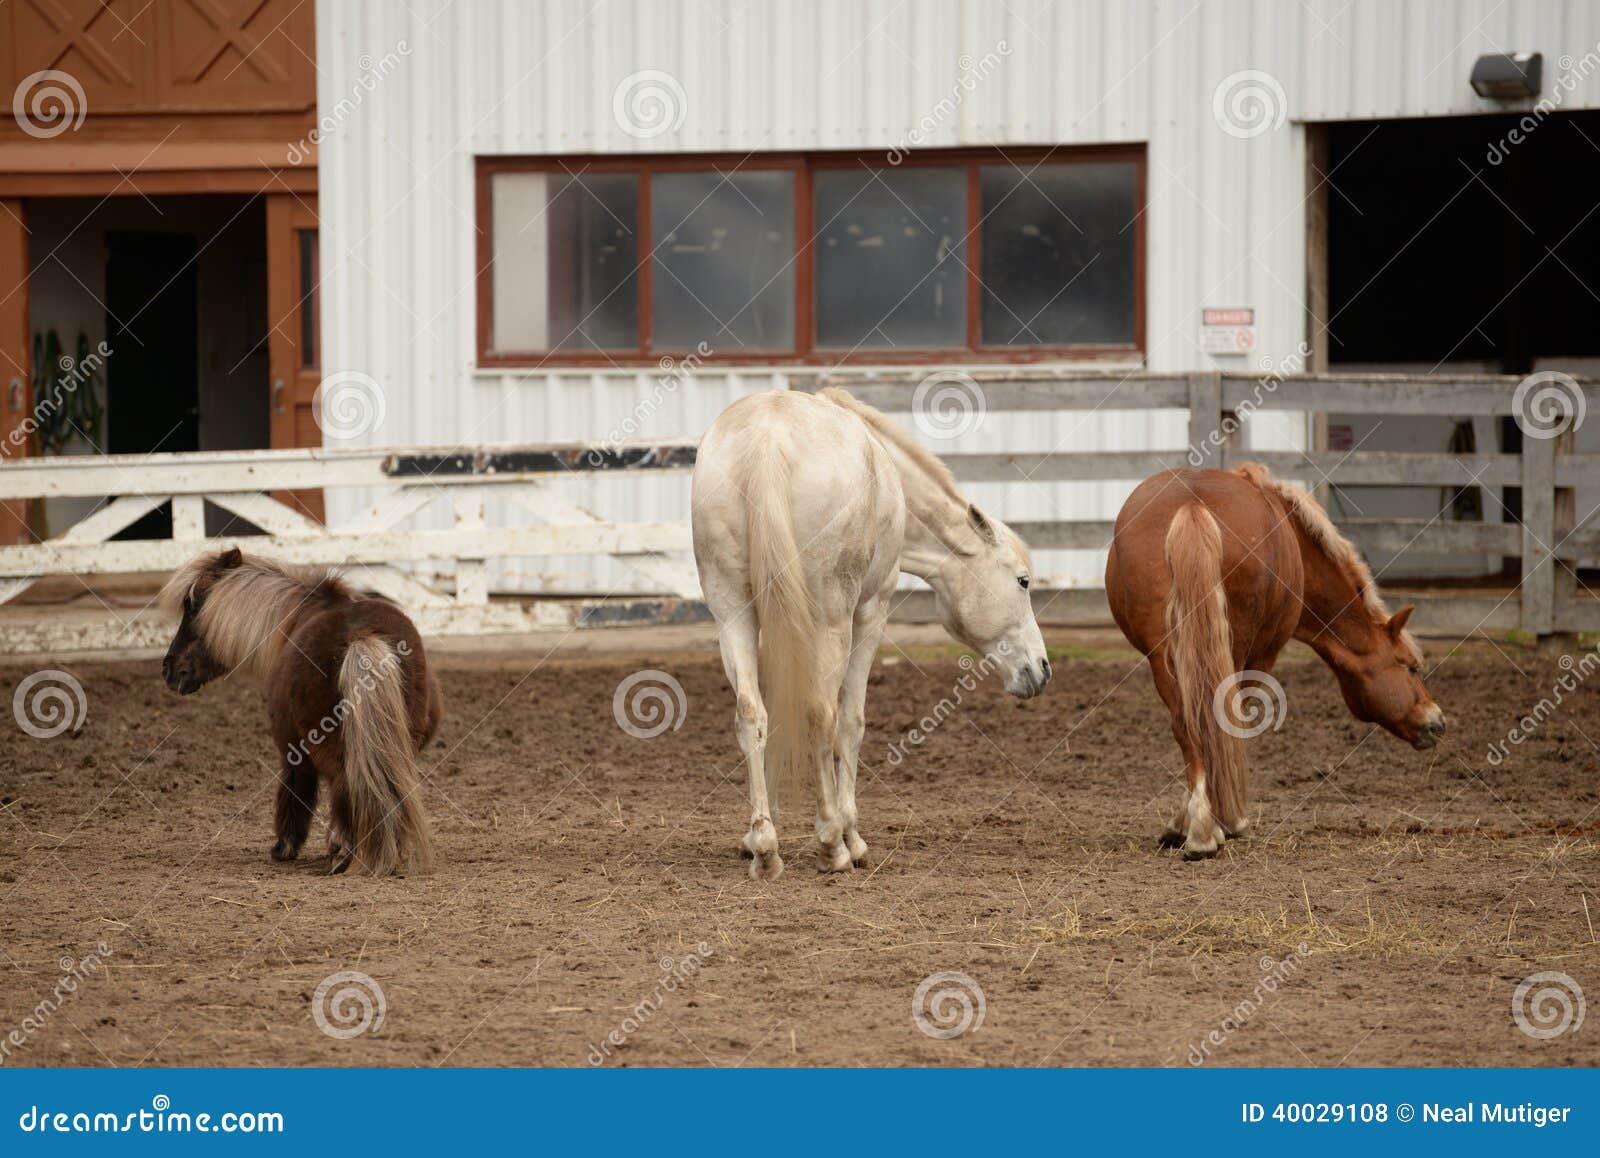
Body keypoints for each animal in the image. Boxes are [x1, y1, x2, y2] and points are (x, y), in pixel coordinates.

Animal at [160, 547, 442, 875]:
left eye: (193, 607)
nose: (169, 668)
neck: (294, 618)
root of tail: (361, 637)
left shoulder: (291, 751)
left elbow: (294, 790)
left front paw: (284, 847)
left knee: (344, 787)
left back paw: (341, 852)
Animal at [692, 387, 1051, 880]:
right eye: (1022, 581)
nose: (1041, 668)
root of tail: (768, 437)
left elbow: (775, 715)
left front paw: (758, 835)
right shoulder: (872, 611)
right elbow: (851, 721)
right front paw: (851, 836)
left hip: (733, 615)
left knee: (752, 714)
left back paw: (766, 848)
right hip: (834, 618)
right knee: (821, 714)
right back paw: (832, 844)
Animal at [1105, 463, 1446, 860]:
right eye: (1410, 667)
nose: (1437, 722)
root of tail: (1192, 504)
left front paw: (1182, 825)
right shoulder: (1261, 657)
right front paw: (1229, 821)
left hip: (1167, 658)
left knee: (1187, 724)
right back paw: (1210, 828)